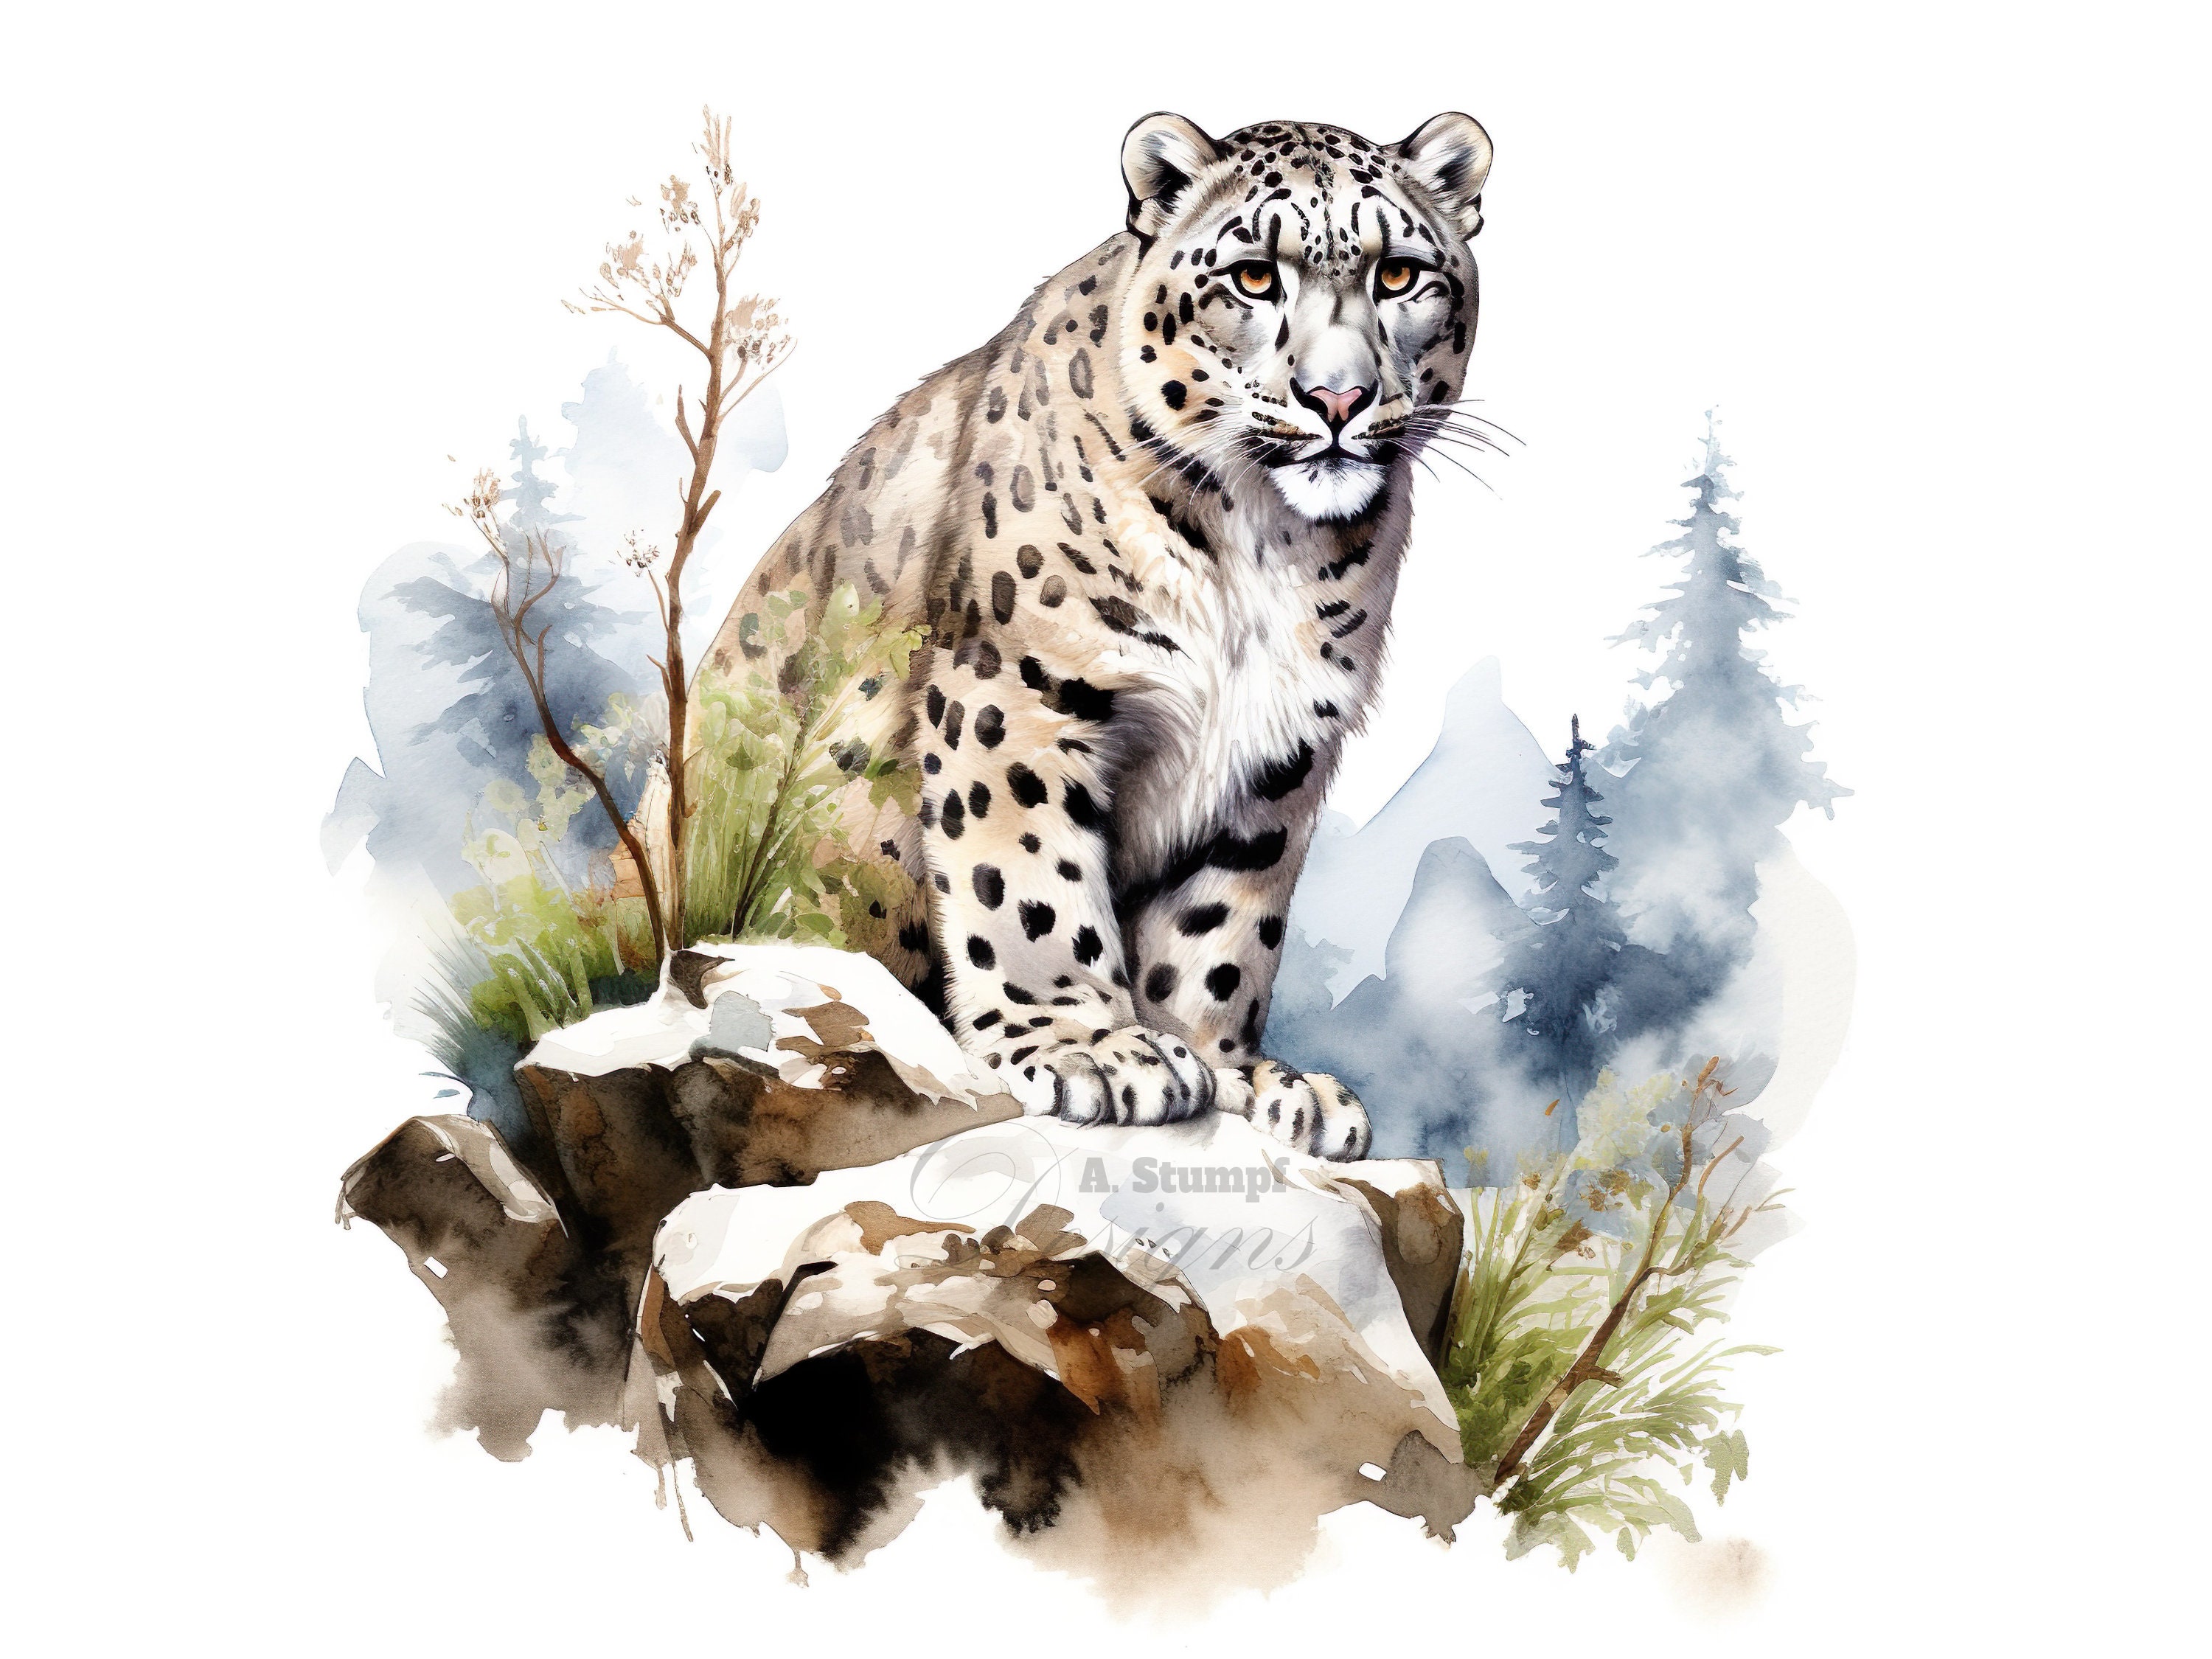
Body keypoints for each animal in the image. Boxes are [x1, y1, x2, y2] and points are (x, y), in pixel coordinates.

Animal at [688, 112, 1495, 1162]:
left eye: (1399, 274)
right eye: (1254, 277)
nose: (1338, 399)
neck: (1264, 545)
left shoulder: (1277, 759)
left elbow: (1223, 936)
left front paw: (1241, 1078)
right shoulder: (1021, 687)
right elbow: (1026, 878)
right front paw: (1090, 1047)